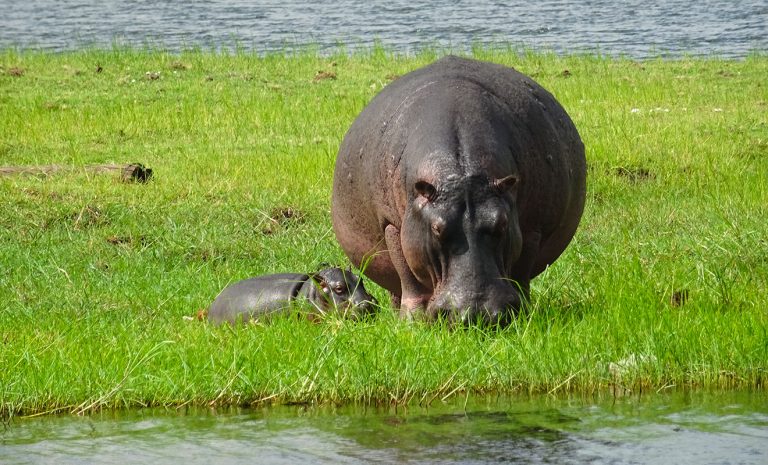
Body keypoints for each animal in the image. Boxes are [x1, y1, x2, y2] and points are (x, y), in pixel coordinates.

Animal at [332, 55, 586, 326]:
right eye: (436, 228)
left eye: (502, 223)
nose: (477, 313)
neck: (463, 174)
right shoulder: (392, 225)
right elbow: (408, 277)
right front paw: (411, 323)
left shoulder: (531, 228)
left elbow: (520, 274)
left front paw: (525, 314)